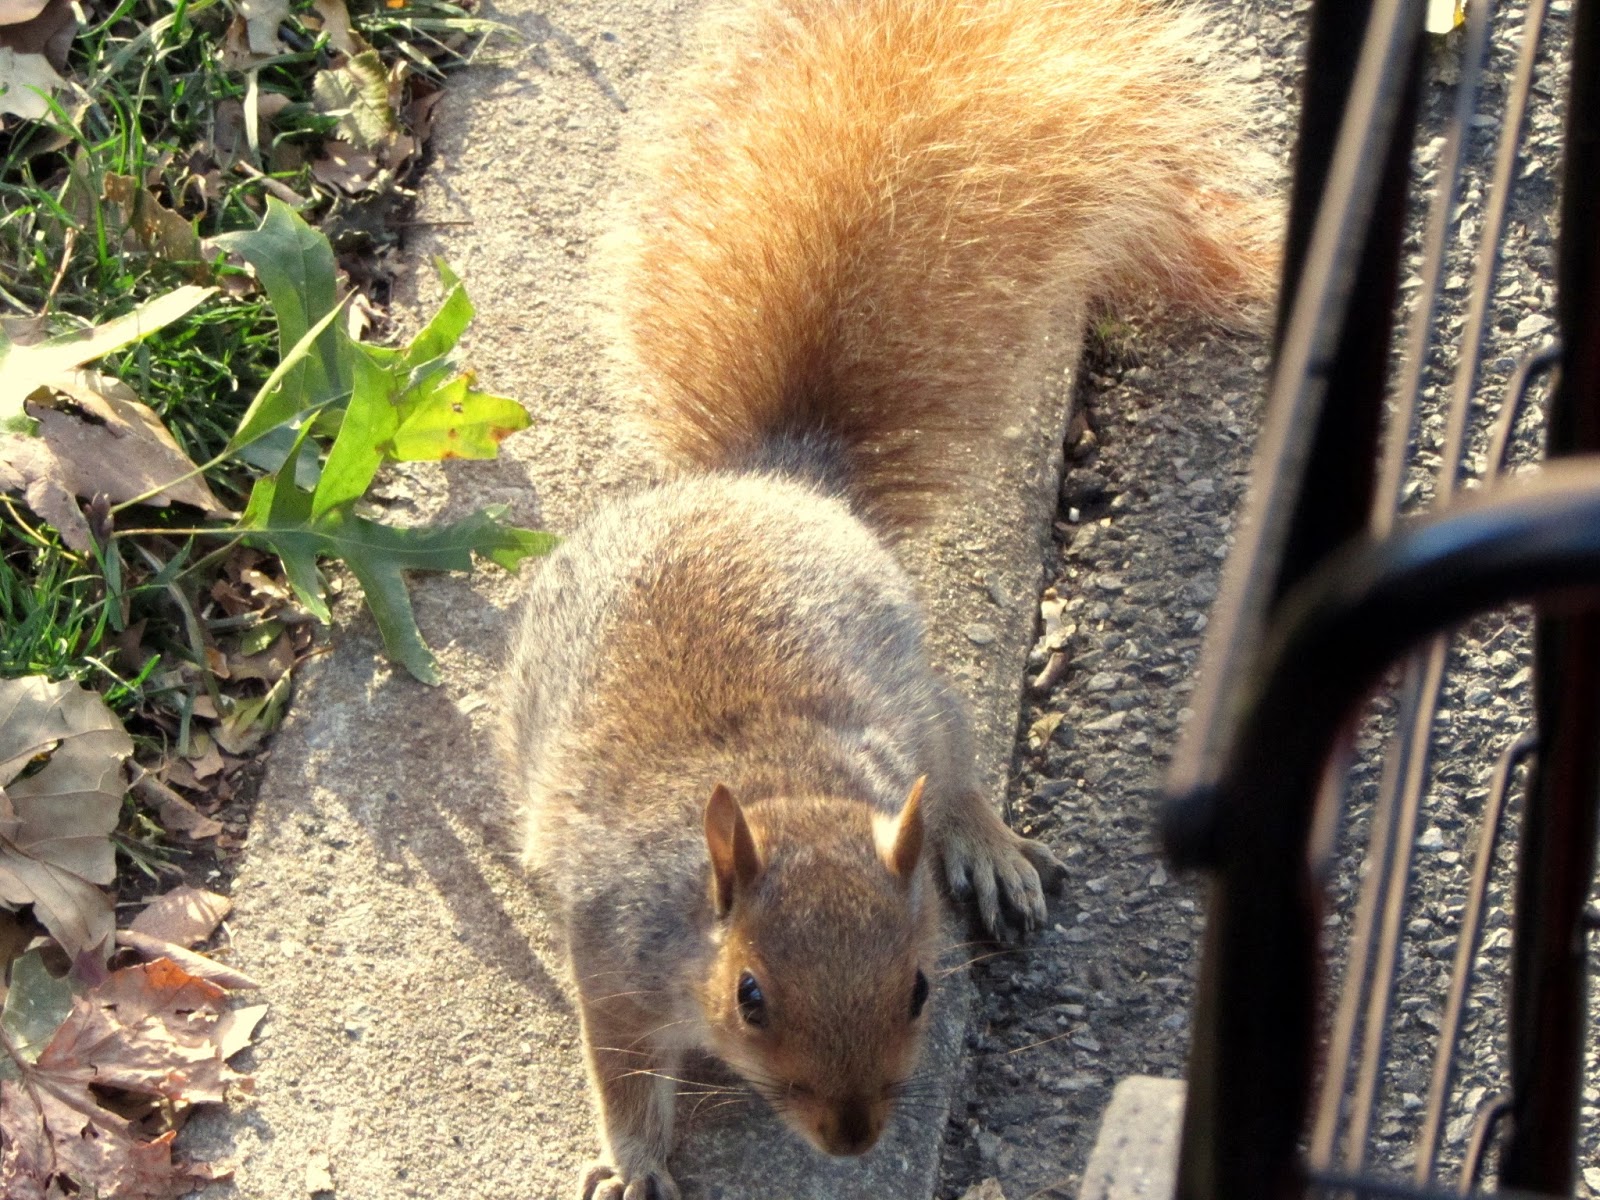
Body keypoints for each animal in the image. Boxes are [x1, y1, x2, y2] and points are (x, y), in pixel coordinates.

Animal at [498, 1, 1276, 1197]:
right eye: (751, 997)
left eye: (919, 985)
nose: (857, 1137)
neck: (782, 795)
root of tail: (777, 480)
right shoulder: (616, 963)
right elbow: (620, 1077)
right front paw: (633, 1166)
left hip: (922, 694)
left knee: (951, 768)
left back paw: (986, 845)